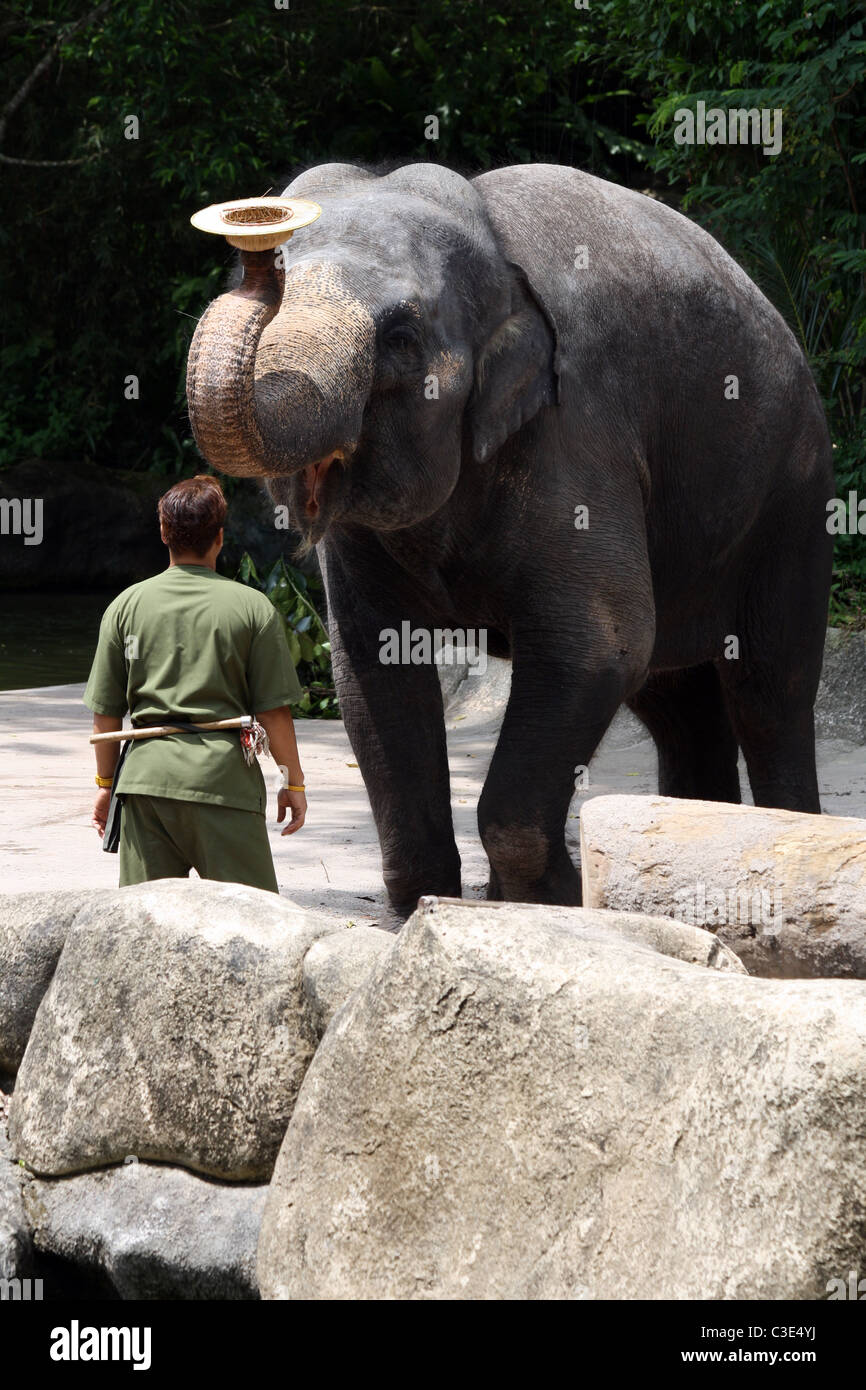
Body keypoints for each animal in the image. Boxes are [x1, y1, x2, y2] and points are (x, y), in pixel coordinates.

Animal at [187, 161, 834, 925]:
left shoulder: (576, 433)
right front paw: (436, 907)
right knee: (677, 701)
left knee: (769, 687)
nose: (260, 247)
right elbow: (372, 670)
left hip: (793, 496)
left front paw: (548, 902)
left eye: (400, 337)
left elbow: (601, 644)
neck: (491, 244)